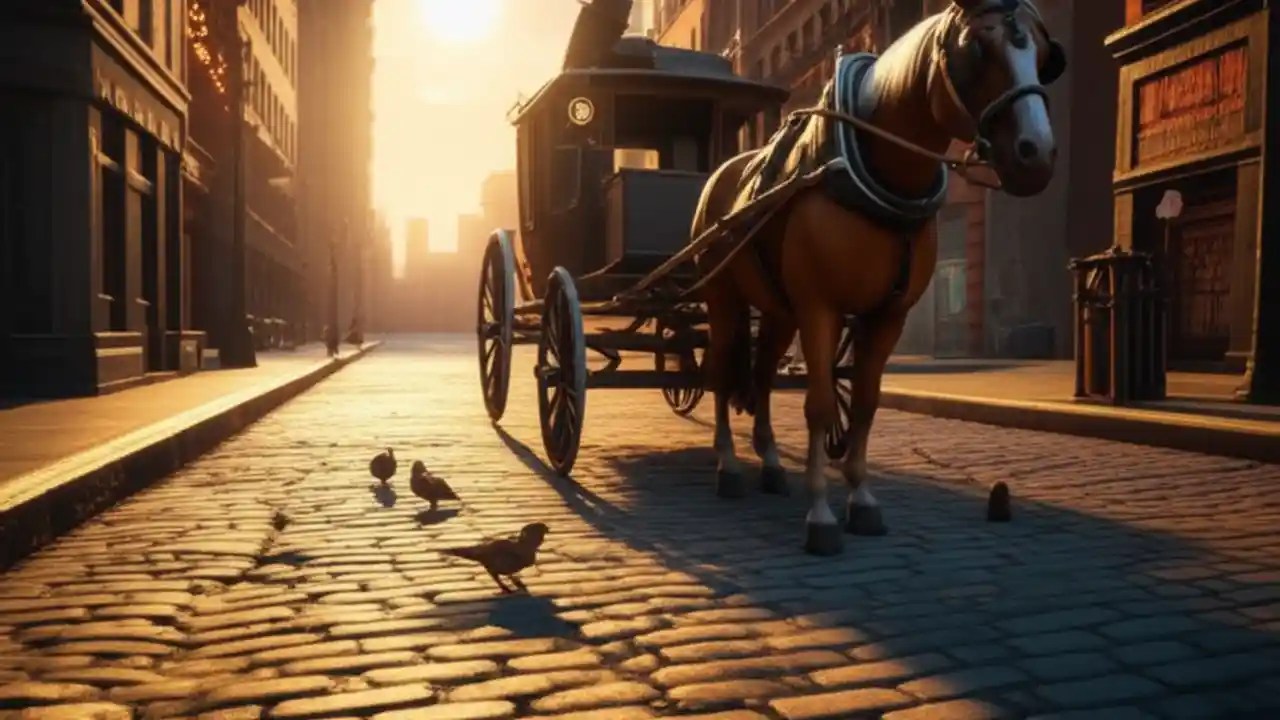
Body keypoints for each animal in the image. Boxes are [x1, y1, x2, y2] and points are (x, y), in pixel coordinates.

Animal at [690, 0, 1066, 555]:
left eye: (1044, 56)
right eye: (978, 48)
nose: (1035, 153)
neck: (871, 173)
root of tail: (721, 175)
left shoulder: (888, 315)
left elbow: (865, 403)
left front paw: (862, 499)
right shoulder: (820, 308)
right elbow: (821, 405)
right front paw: (821, 513)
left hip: (778, 311)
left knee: (760, 377)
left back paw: (772, 463)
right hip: (723, 298)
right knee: (720, 372)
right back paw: (729, 466)